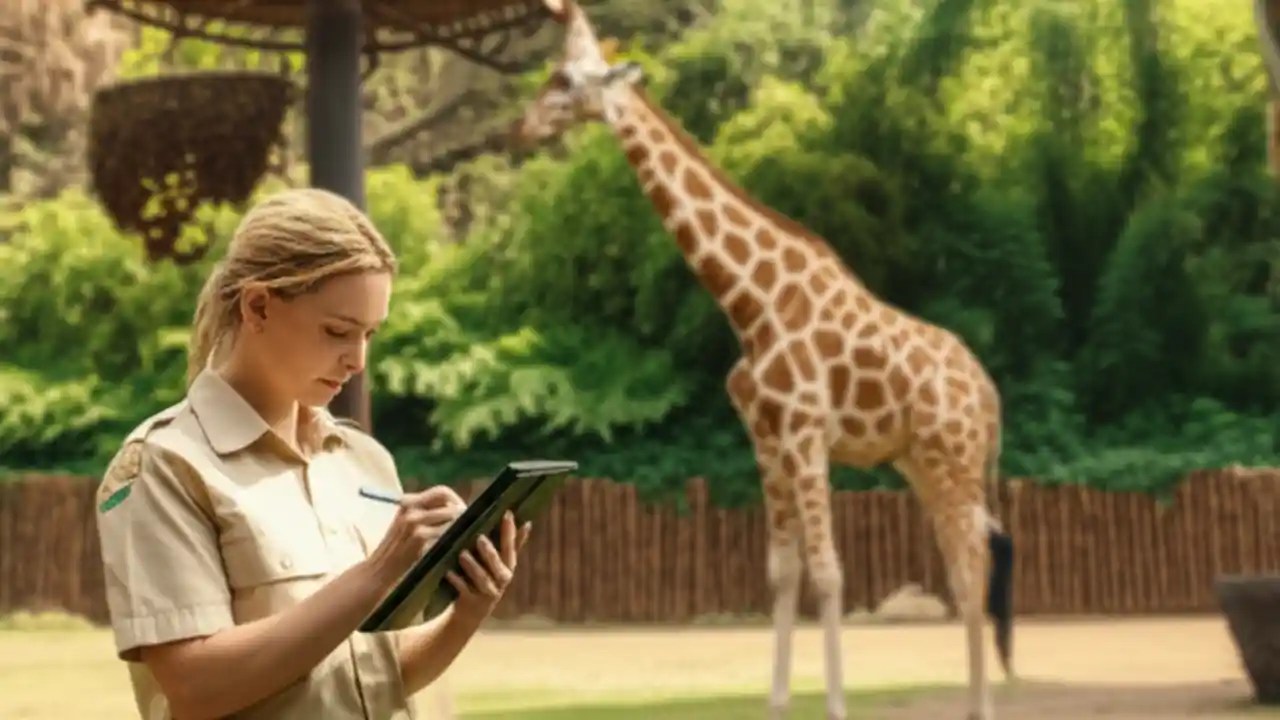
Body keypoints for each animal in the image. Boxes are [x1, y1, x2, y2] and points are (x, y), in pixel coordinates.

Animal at [509, 2, 1017, 718]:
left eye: (566, 80)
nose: (517, 130)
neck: (749, 303)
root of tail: (988, 391)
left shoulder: (805, 432)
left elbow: (829, 572)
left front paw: (835, 706)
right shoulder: (766, 438)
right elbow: (783, 572)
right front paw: (777, 702)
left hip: (957, 458)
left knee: (975, 564)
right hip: (922, 462)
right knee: (962, 566)